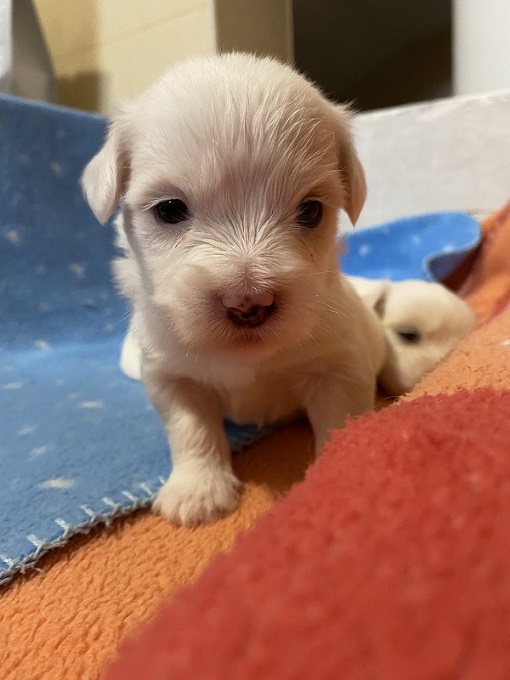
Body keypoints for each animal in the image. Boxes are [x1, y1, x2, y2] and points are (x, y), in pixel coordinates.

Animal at [81, 53, 384, 524]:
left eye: (311, 210)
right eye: (169, 210)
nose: (248, 302)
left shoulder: (339, 365)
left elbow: (340, 420)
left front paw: (339, 473)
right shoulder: (172, 377)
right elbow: (191, 430)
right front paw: (197, 491)